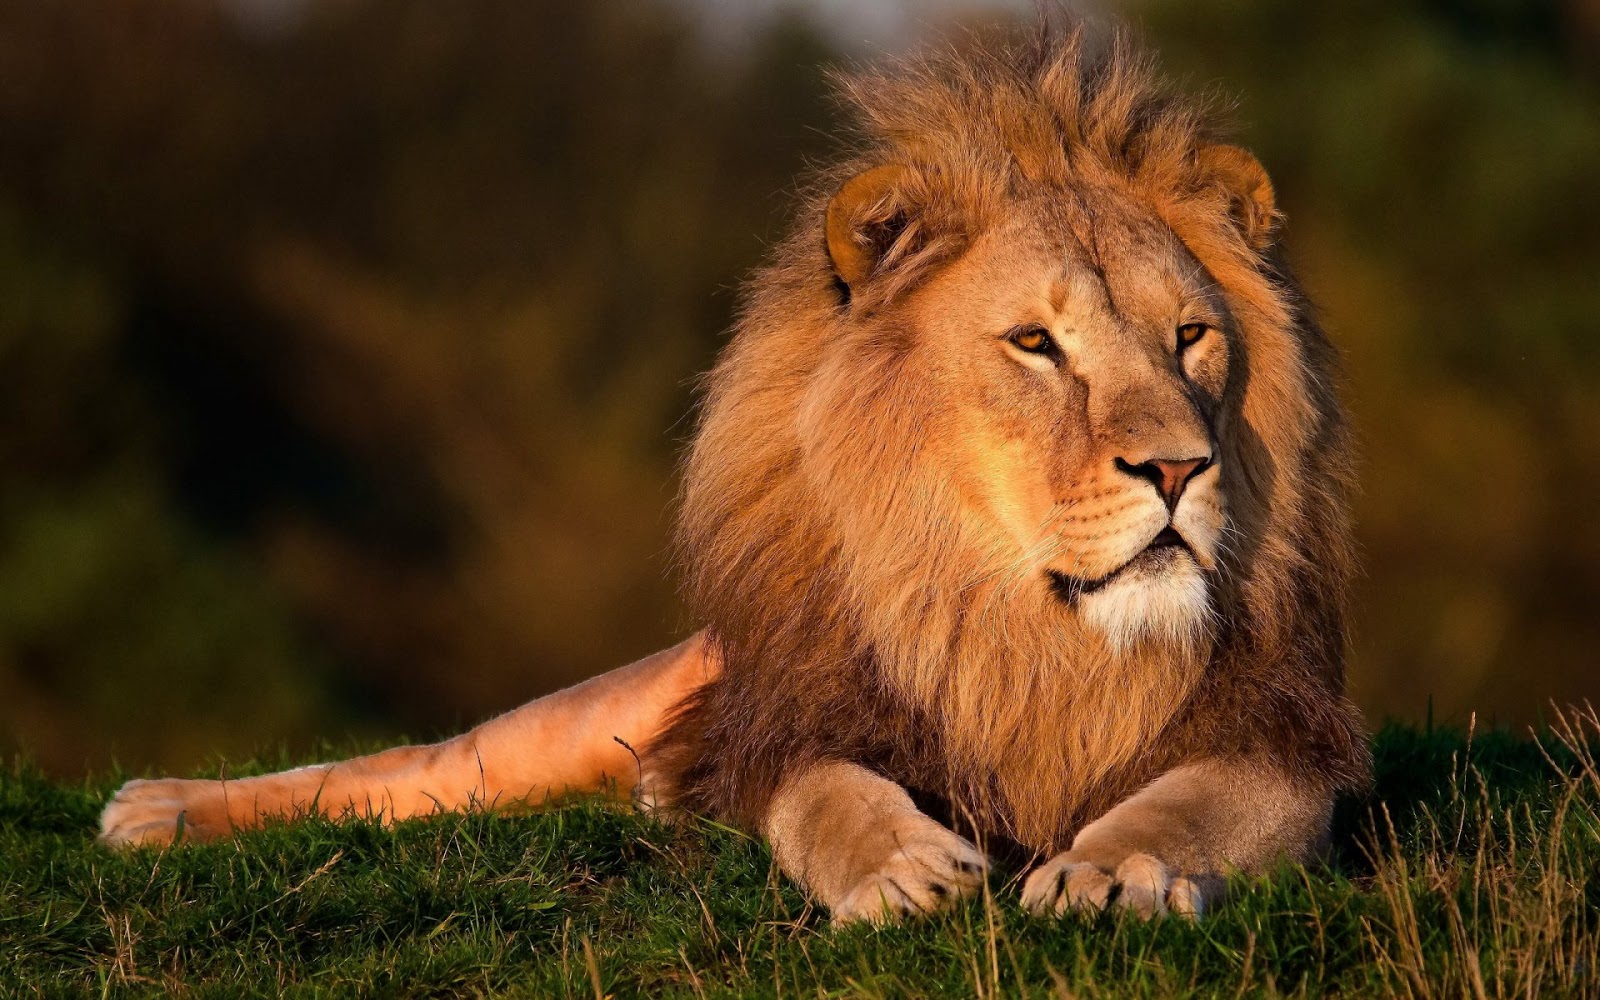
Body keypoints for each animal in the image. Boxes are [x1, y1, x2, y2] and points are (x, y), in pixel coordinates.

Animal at [99, 25, 1370, 923]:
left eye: (1189, 337)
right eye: (1034, 344)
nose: (1179, 467)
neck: (1025, 633)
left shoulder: (1282, 742)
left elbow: (1194, 802)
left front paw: (1110, 869)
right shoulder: (785, 726)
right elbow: (826, 797)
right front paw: (902, 868)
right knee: (413, 769)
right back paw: (153, 807)